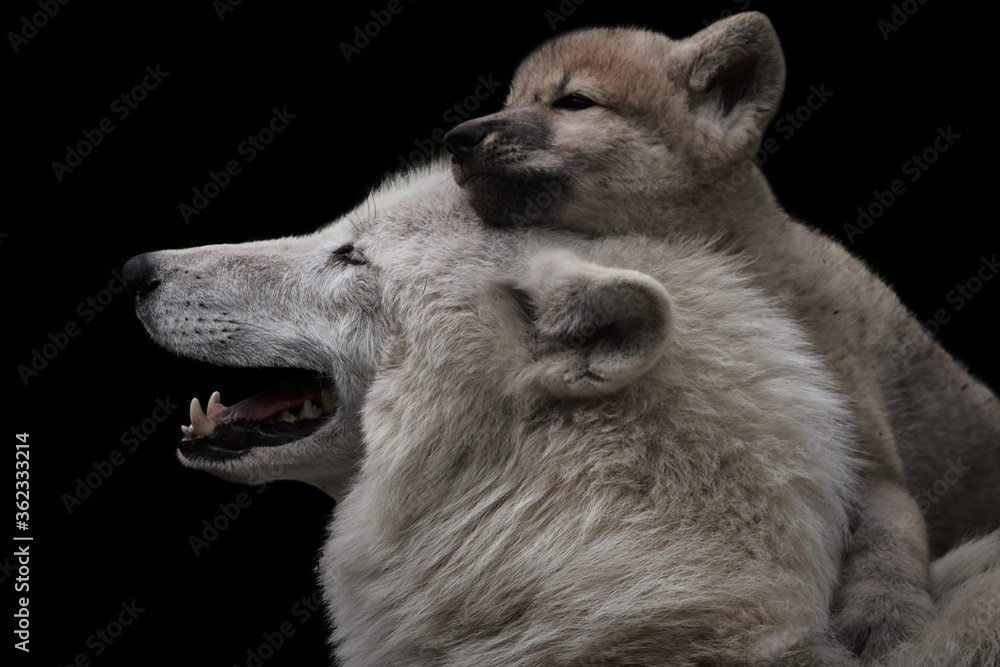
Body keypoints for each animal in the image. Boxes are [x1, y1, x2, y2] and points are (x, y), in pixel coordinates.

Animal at [443, 12, 1000, 661]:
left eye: (573, 101)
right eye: (511, 100)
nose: (456, 138)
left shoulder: (873, 463)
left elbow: (888, 539)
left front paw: (884, 619)